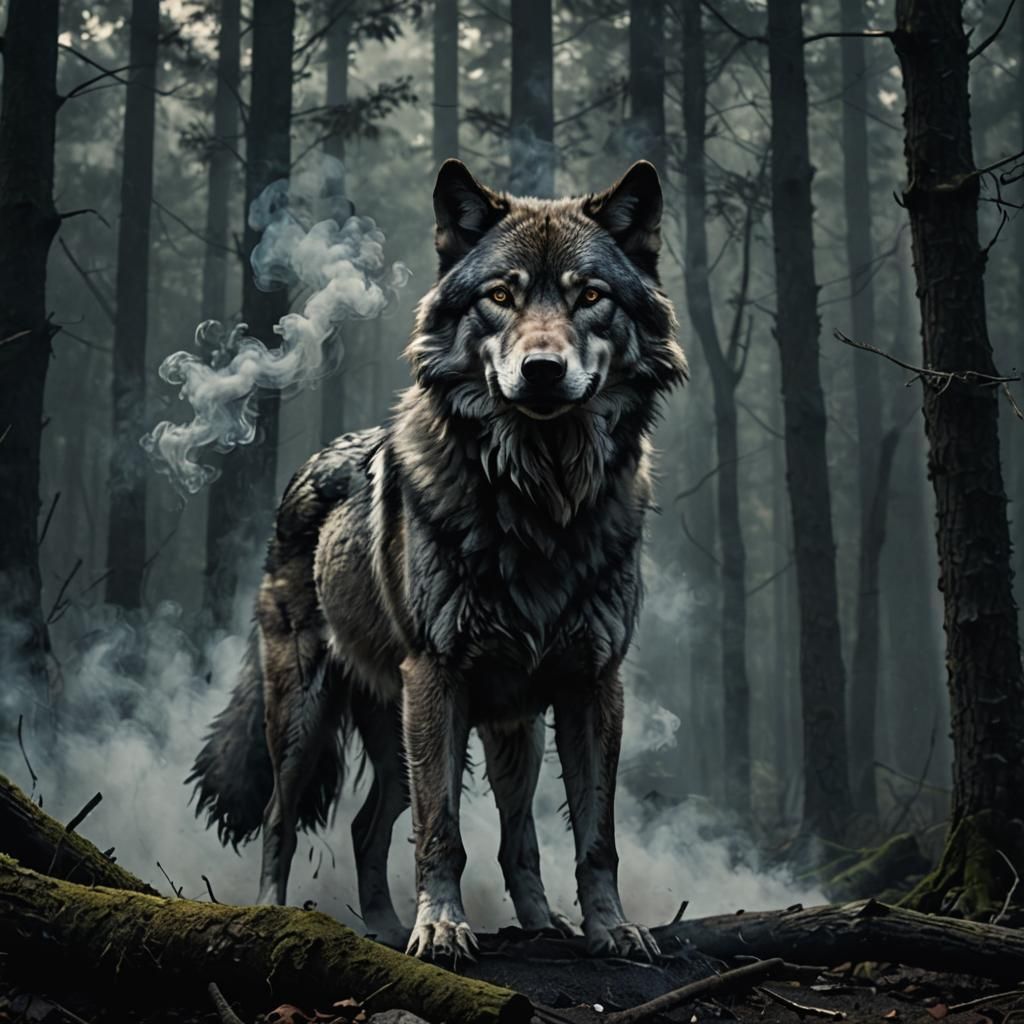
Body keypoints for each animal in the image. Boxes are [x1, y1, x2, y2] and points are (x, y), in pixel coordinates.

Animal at [190, 159, 687, 961]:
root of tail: (303, 474)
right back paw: (284, 914)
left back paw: (430, 928)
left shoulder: (590, 684)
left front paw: (610, 929)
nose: (541, 370)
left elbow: (592, 837)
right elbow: (442, 831)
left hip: (479, 731)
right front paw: (444, 929)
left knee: (399, 828)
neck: (539, 501)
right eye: (500, 296)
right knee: (280, 819)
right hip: (315, 719)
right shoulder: (438, 676)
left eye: (590, 296)